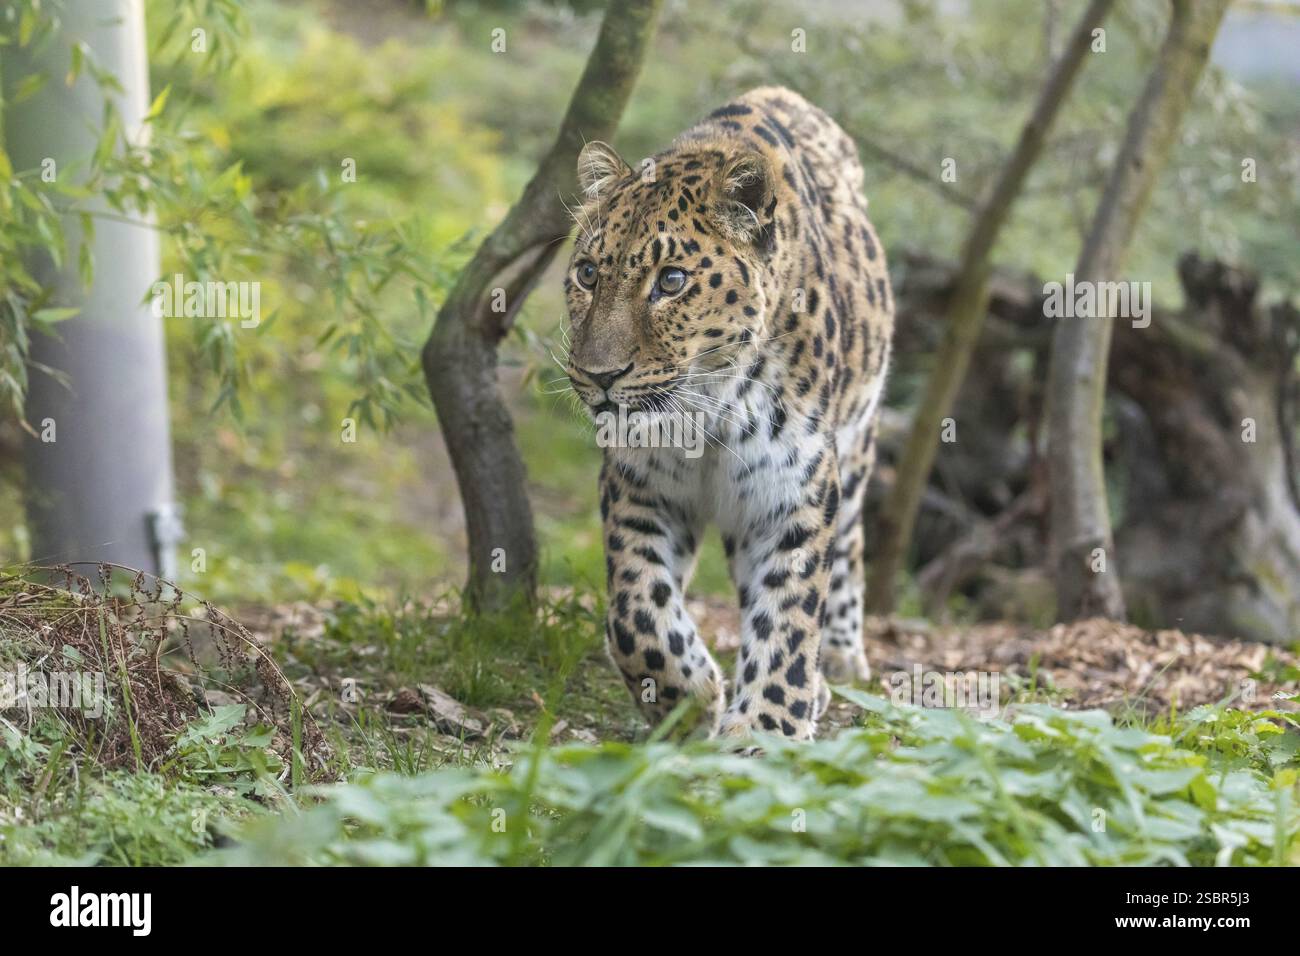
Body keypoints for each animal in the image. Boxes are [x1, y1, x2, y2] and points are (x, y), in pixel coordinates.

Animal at [562, 86, 894, 740]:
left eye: (671, 281)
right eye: (587, 274)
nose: (598, 375)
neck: (709, 410)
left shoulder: (793, 488)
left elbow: (789, 612)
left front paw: (767, 728)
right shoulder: (642, 485)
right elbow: (636, 610)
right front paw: (689, 700)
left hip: (857, 447)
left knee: (849, 544)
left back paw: (841, 657)